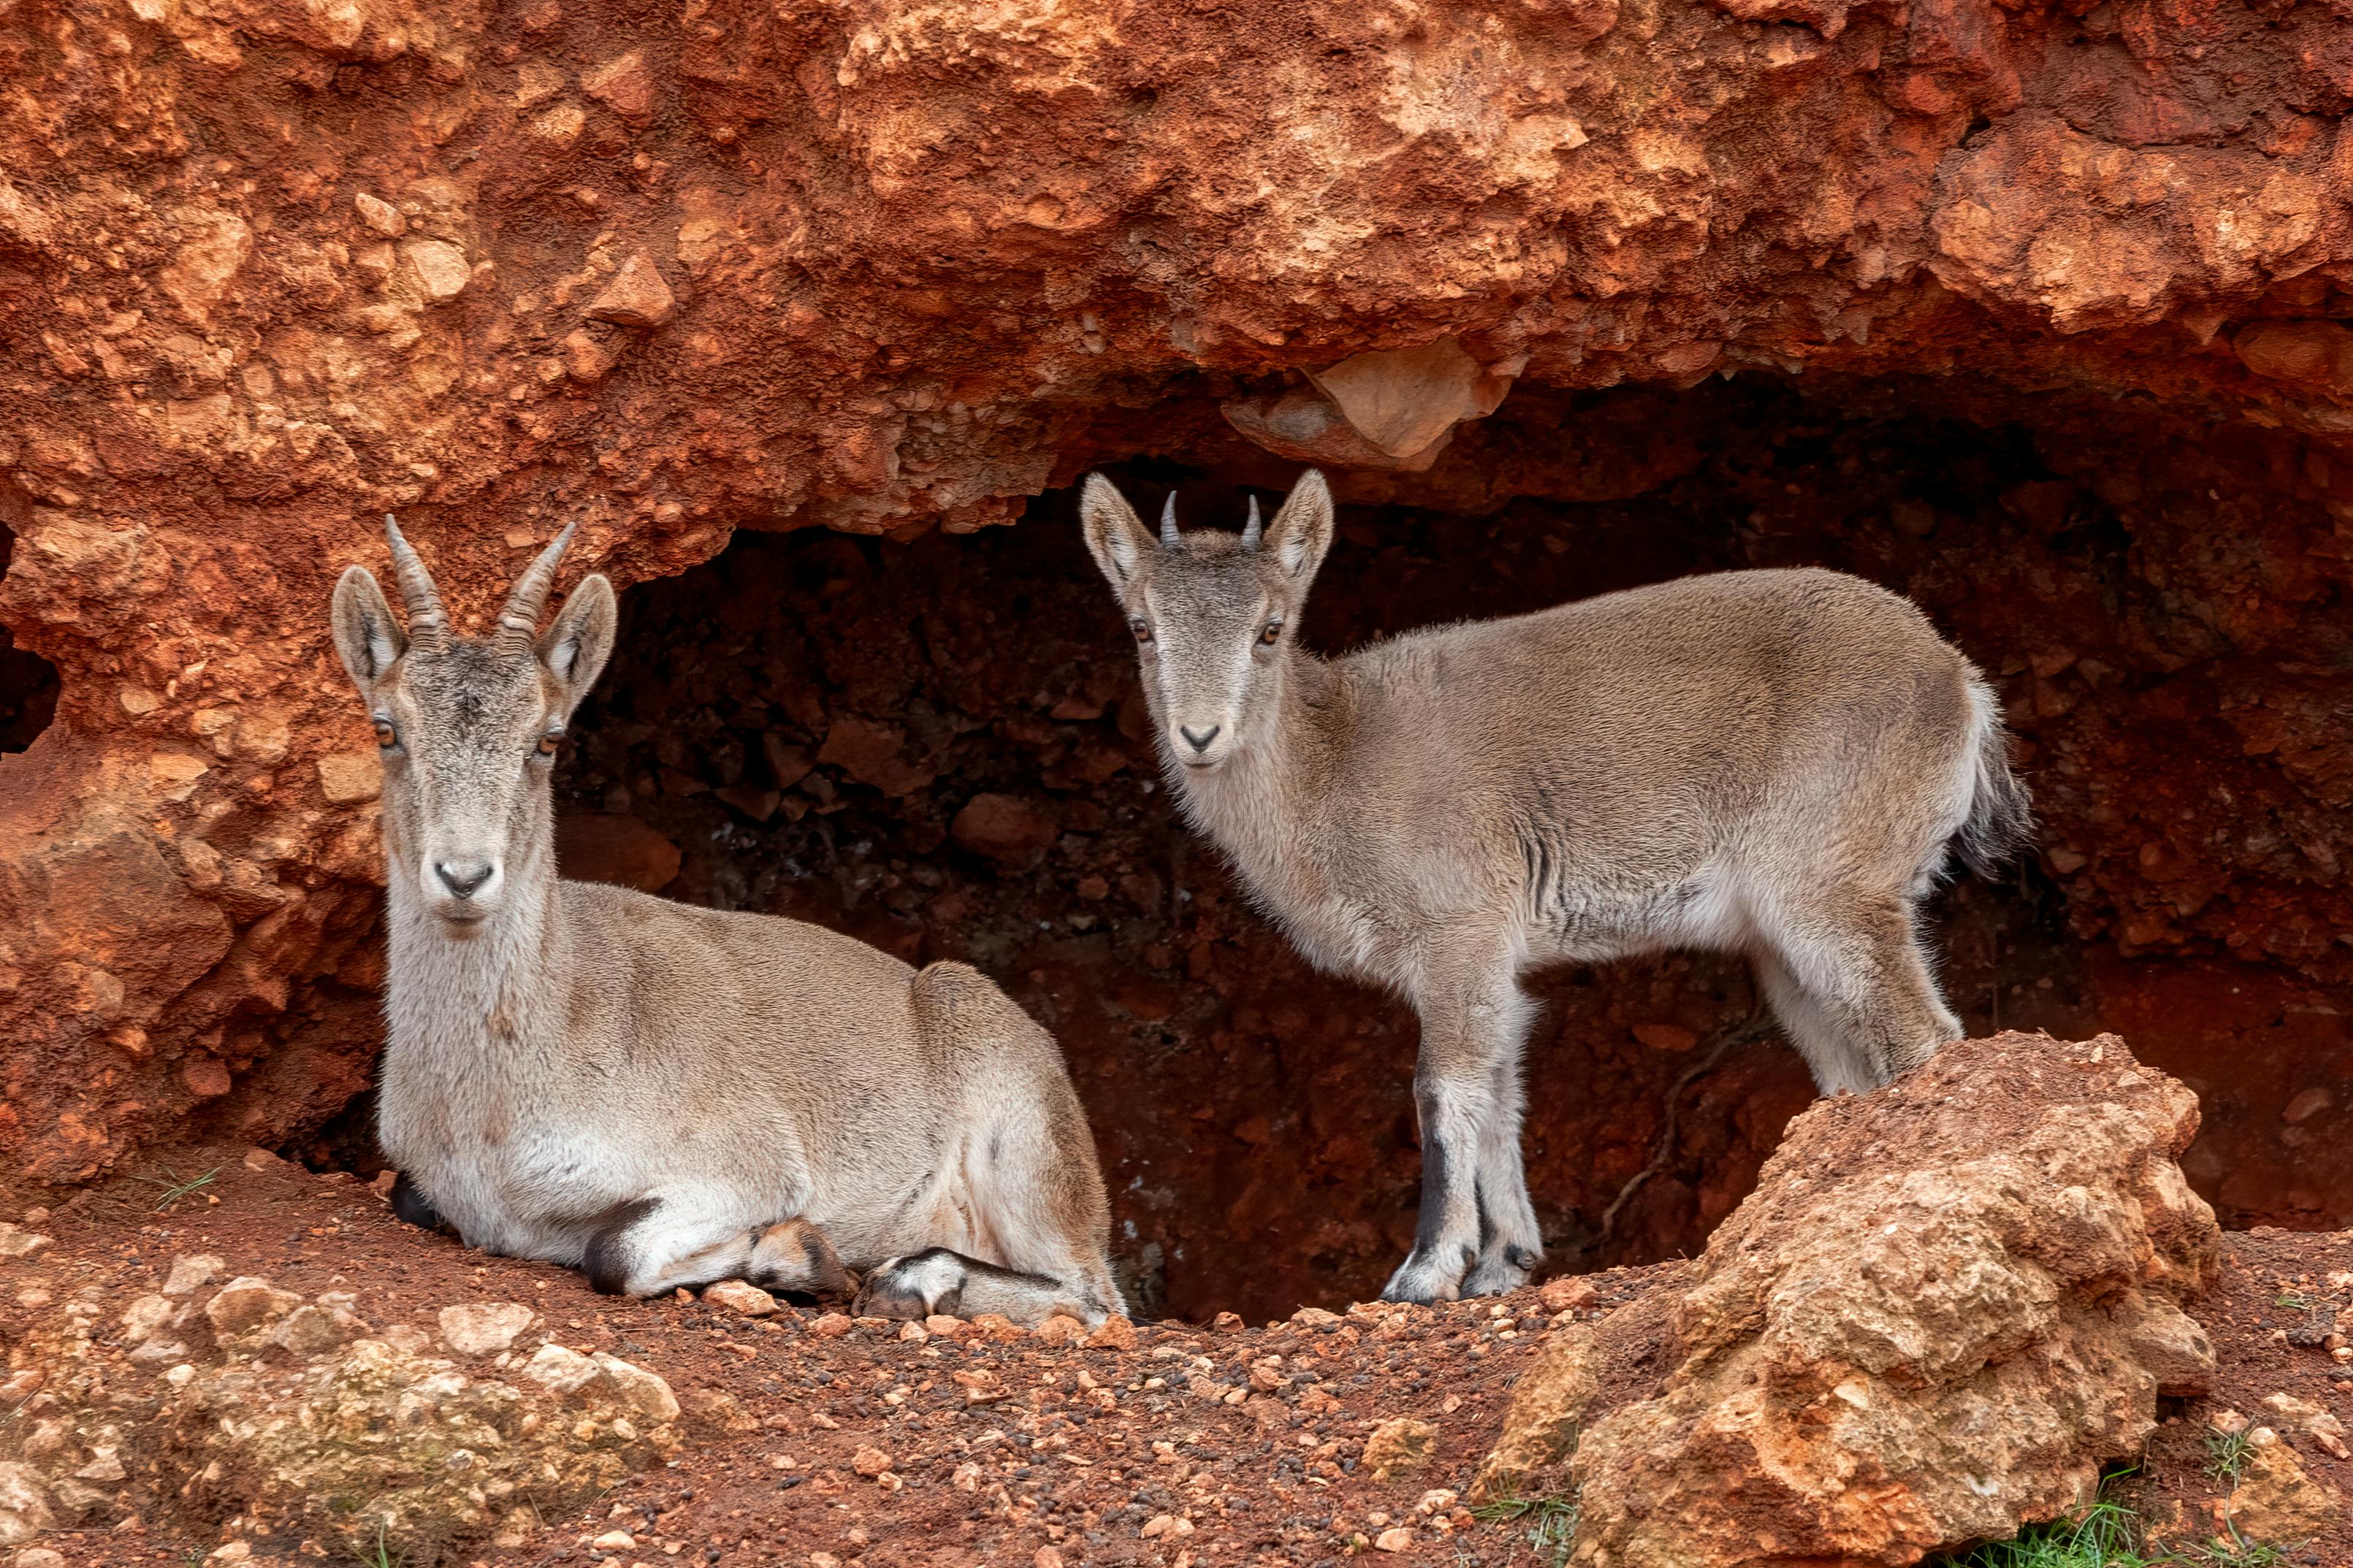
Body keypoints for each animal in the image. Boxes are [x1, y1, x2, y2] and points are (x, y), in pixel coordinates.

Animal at [329, 517, 1123, 1323]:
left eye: (547, 739)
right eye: (386, 729)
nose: (464, 877)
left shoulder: (747, 1162)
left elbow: (616, 1249)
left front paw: (808, 1255)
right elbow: (411, 1198)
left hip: (1020, 1129)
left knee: (1094, 1296)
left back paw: (911, 1276)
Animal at [1080, 470, 2031, 1304]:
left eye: (1269, 629)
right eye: (1142, 628)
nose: (1199, 734)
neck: (1335, 760)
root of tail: (1958, 679)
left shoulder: (1457, 934)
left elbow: (1444, 1088)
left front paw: (1423, 1274)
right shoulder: (1495, 962)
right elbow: (1502, 1087)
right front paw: (1504, 1262)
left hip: (1832, 889)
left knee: (1924, 1036)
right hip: (1783, 939)